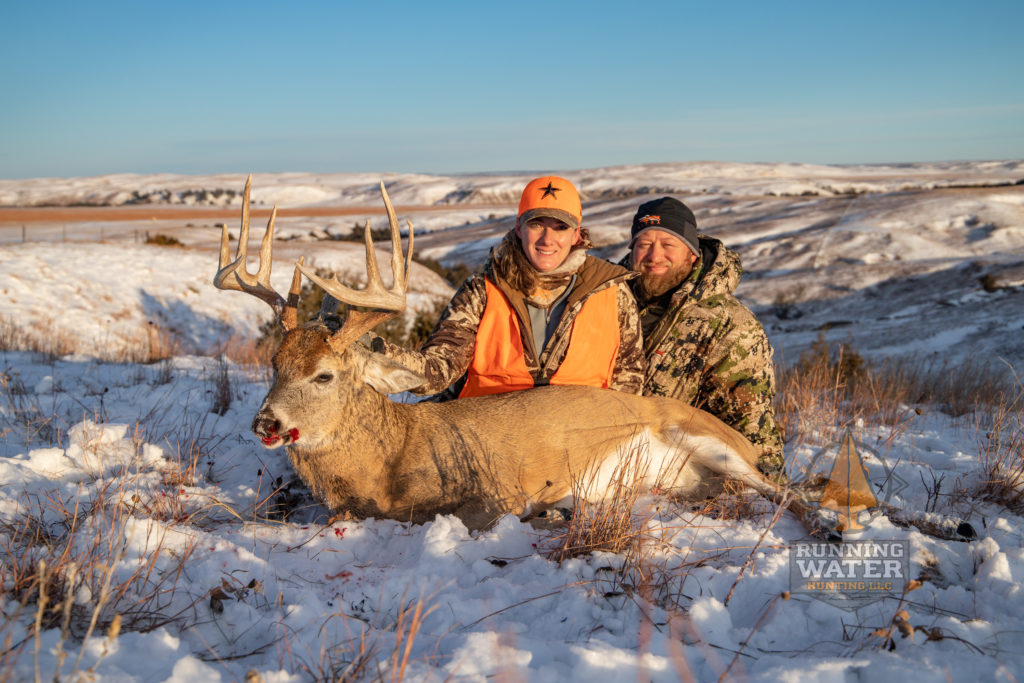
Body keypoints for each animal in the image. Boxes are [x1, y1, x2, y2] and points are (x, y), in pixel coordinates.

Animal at [214, 175, 816, 532]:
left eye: (325, 375)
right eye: (274, 365)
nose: (266, 423)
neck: (386, 465)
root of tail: (742, 440)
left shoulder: (495, 491)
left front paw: (549, 510)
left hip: (711, 443)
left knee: (791, 492)